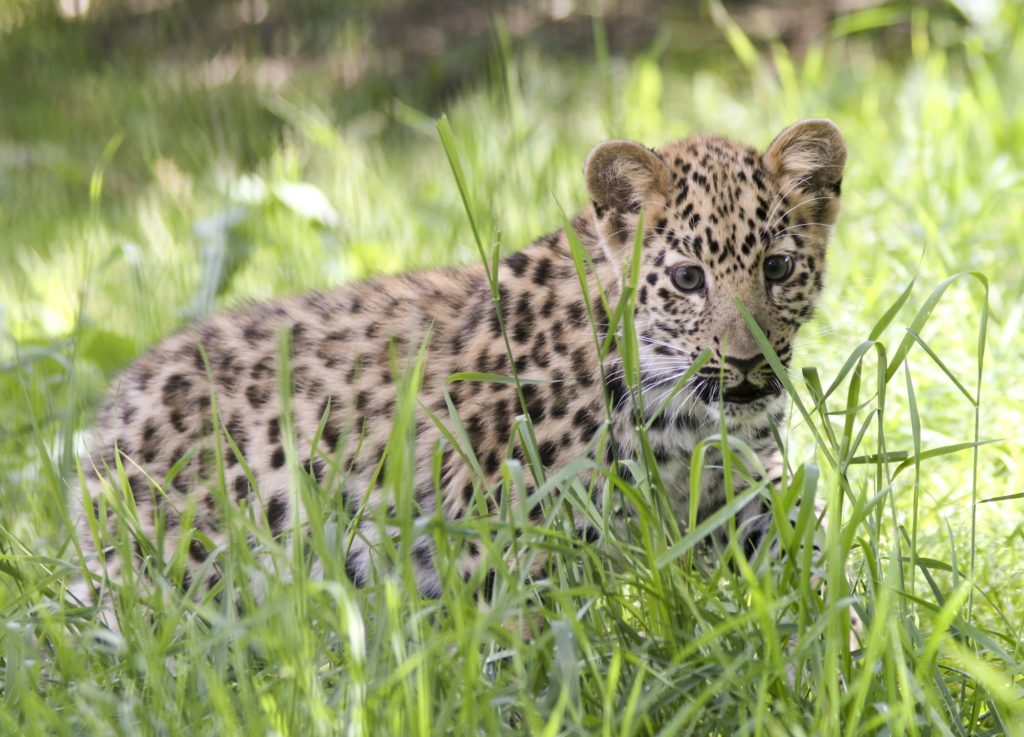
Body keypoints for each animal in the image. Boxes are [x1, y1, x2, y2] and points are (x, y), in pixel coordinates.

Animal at [68, 119, 847, 626]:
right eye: (687, 279)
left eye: (778, 267)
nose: (747, 362)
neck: (679, 412)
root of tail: (109, 413)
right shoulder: (507, 544)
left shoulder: (743, 494)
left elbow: (814, 566)